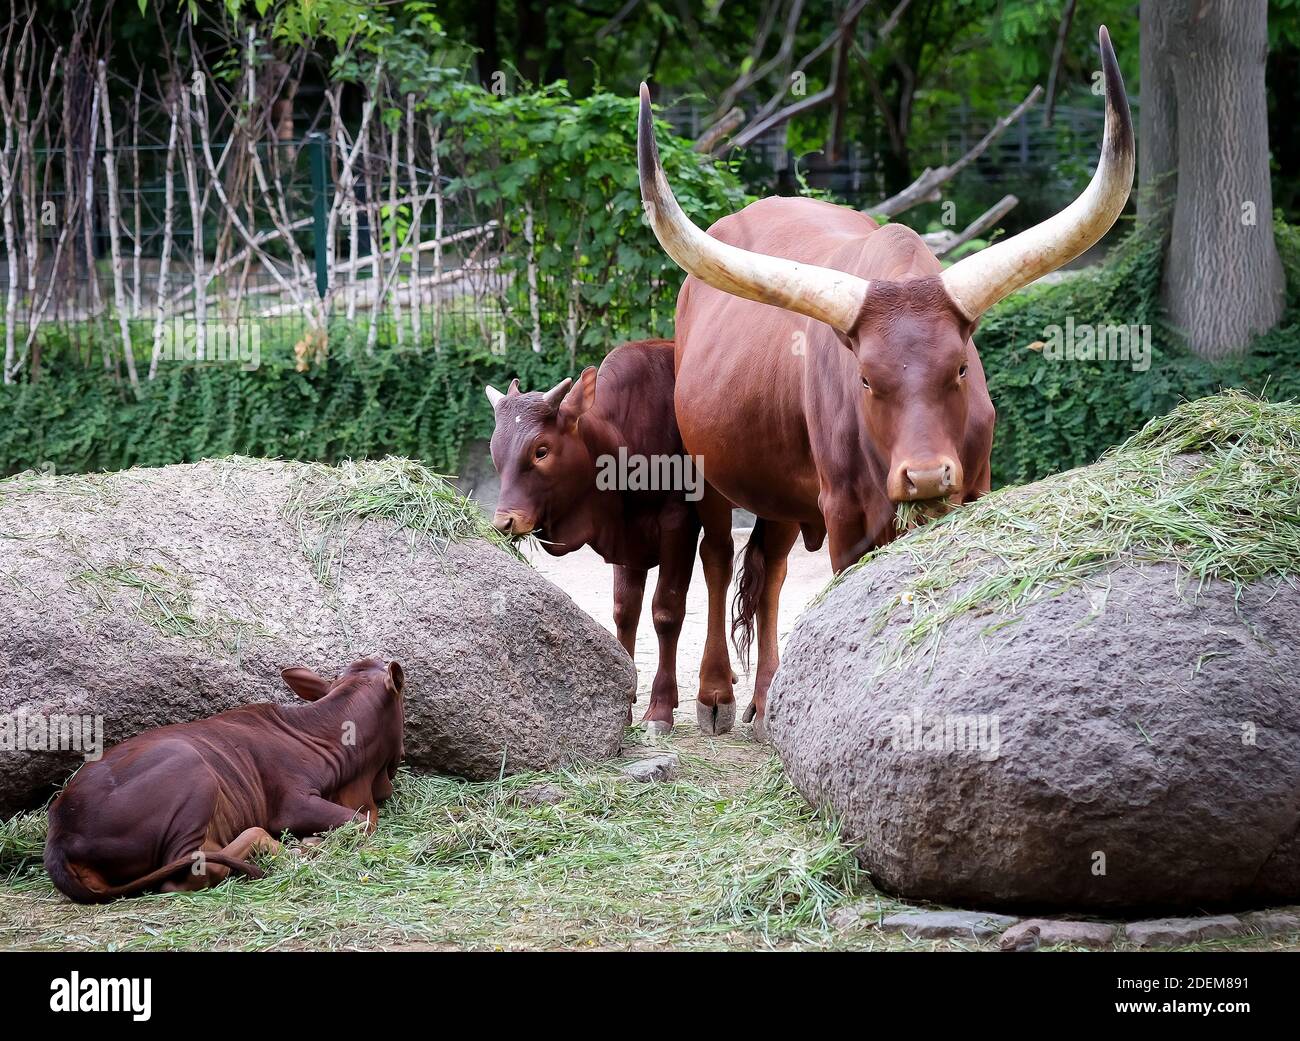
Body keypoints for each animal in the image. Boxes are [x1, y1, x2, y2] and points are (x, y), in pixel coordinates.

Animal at [43, 657, 405, 903]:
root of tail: (60, 835)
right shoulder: (291, 803)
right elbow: (361, 822)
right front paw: (311, 841)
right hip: (191, 769)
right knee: (196, 871)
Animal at [485, 339, 739, 735]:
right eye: (494, 451)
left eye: (541, 450)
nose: (504, 522)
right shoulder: (627, 542)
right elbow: (625, 610)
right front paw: (627, 706)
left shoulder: (678, 524)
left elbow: (666, 611)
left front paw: (659, 709)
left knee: (724, 565)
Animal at [638, 26, 1133, 739]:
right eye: (866, 380)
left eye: (961, 367)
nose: (925, 477)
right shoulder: (845, 515)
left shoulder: (973, 487)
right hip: (712, 472)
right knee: (716, 561)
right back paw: (710, 697)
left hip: (783, 482)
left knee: (770, 568)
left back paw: (766, 700)